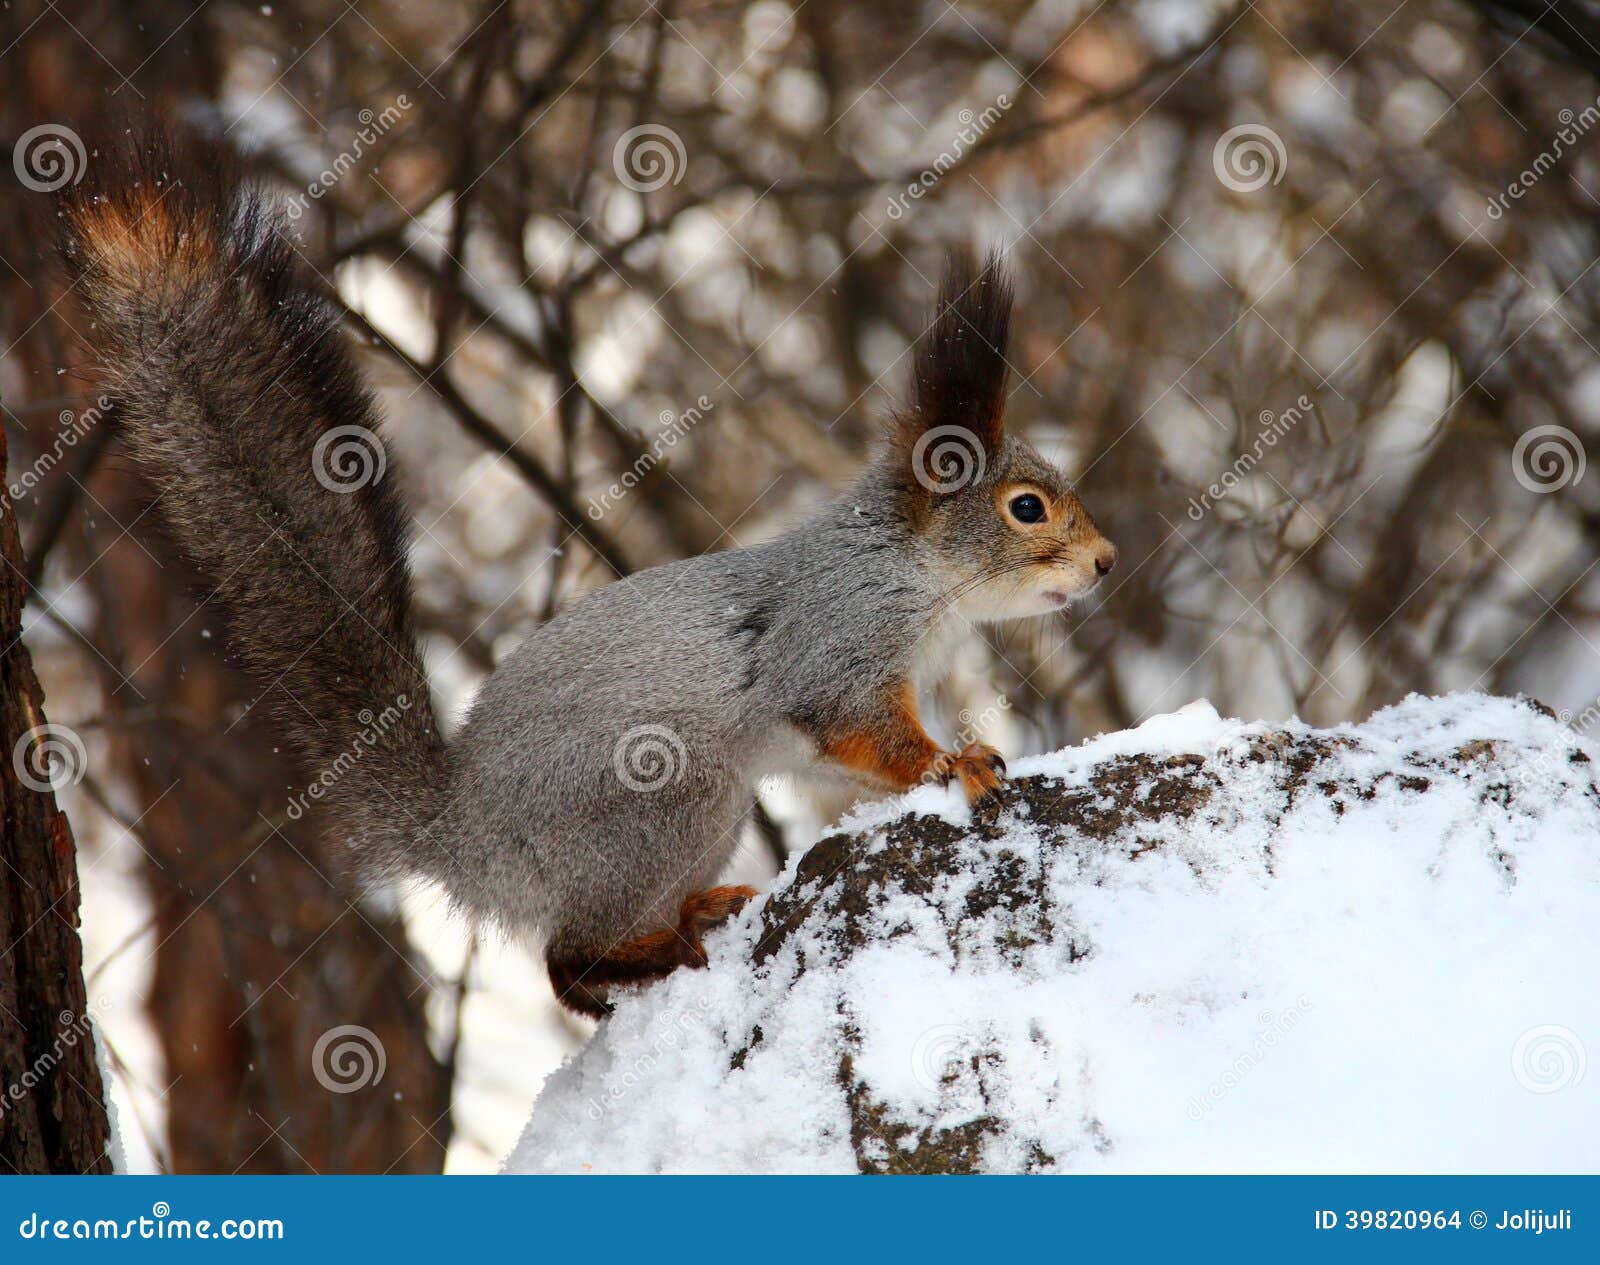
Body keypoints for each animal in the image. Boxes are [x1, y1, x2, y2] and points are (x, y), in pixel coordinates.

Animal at [56, 134, 1117, 1018]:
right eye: (1028, 507)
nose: (1106, 562)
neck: (920, 577)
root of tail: (465, 839)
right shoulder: (836, 635)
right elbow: (860, 725)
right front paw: (952, 761)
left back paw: (692, 914)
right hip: (665, 799)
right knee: (565, 960)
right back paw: (658, 949)